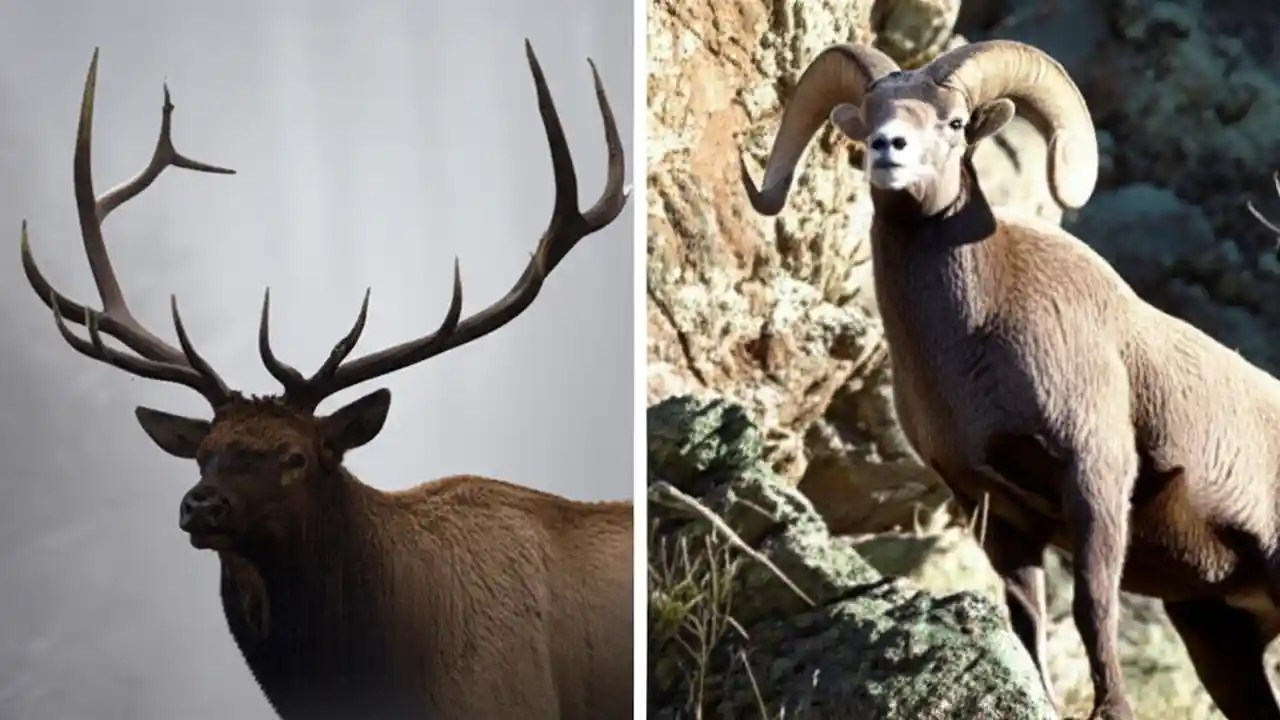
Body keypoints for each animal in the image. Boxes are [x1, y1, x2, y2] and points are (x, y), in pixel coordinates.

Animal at [740, 38, 1280, 720]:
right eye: (870, 117)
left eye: (953, 123)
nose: (889, 148)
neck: (978, 334)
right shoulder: (998, 516)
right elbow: (1027, 623)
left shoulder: (1095, 479)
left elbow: (1092, 607)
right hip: (1219, 636)